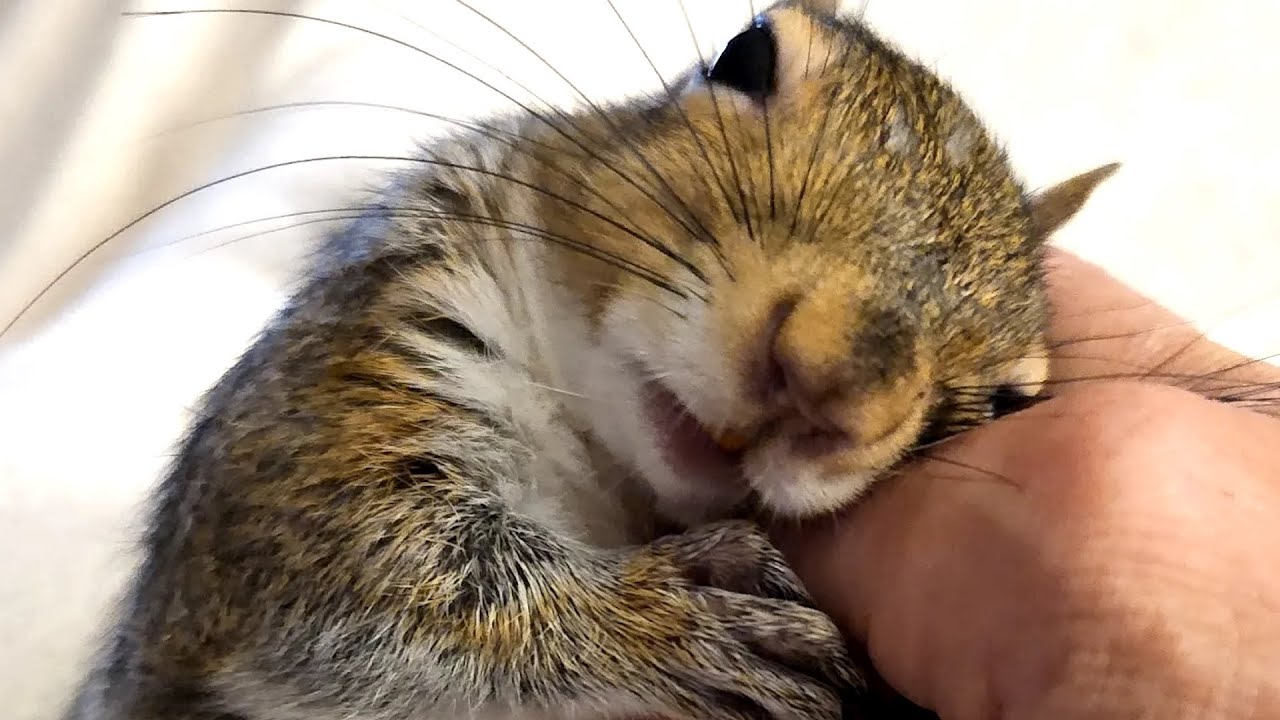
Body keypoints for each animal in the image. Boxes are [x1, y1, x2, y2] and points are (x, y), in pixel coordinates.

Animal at [60, 1, 1117, 718]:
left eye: (1011, 402)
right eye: (746, 54)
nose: (829, 381)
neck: (601, 465)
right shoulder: (346, 374)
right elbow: (365, 557)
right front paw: (671, 617)